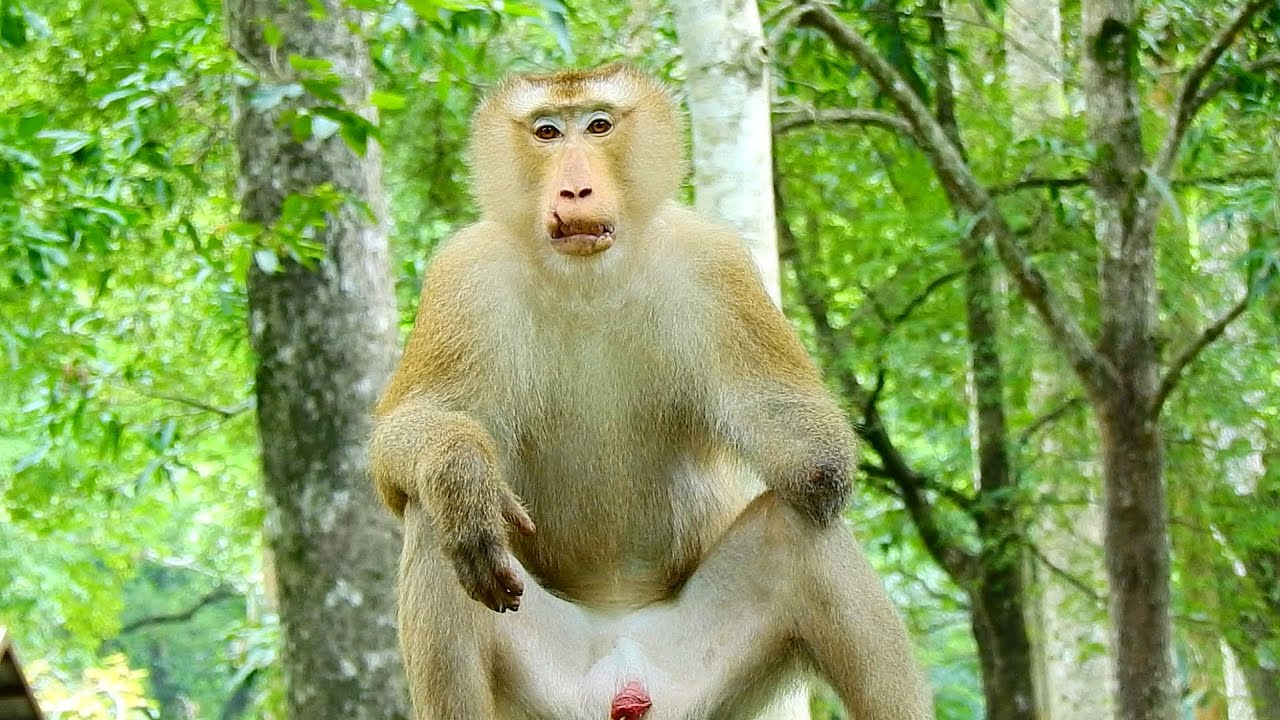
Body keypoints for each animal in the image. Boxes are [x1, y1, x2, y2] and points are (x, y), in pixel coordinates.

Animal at [370, 63, 932, 720]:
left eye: (599, 124)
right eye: (546, 131)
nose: (576, 191)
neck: (588, 281)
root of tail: (626, 675)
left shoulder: (714, 265)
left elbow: (817, 463)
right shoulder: (463, 279)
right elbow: (405, 450)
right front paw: (459, 471)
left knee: (798, 530)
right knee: (437, 525)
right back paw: (458, 504)